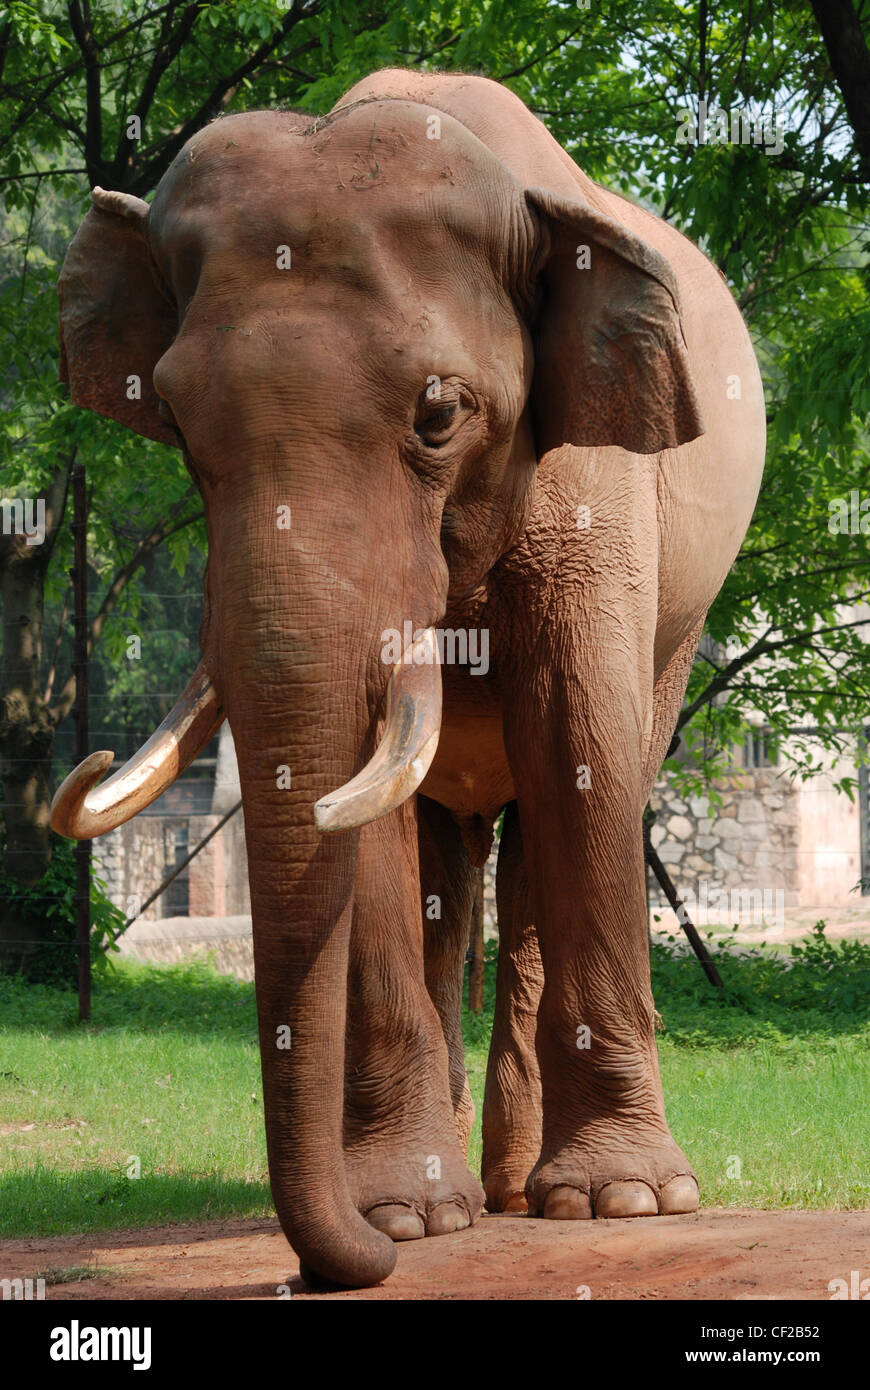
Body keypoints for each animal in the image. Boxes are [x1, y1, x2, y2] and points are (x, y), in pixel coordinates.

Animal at [52, 68, 765, 1289]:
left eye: (440, 415)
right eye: (178, 424)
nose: (330, 1266)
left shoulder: (598, 489)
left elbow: (581, 747)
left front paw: (627, 1200)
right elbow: (368, 817)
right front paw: (406, 1216)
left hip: (687, 613)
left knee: (563, 809)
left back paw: (534, 1193)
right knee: (442, 847)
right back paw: (471, 1193)